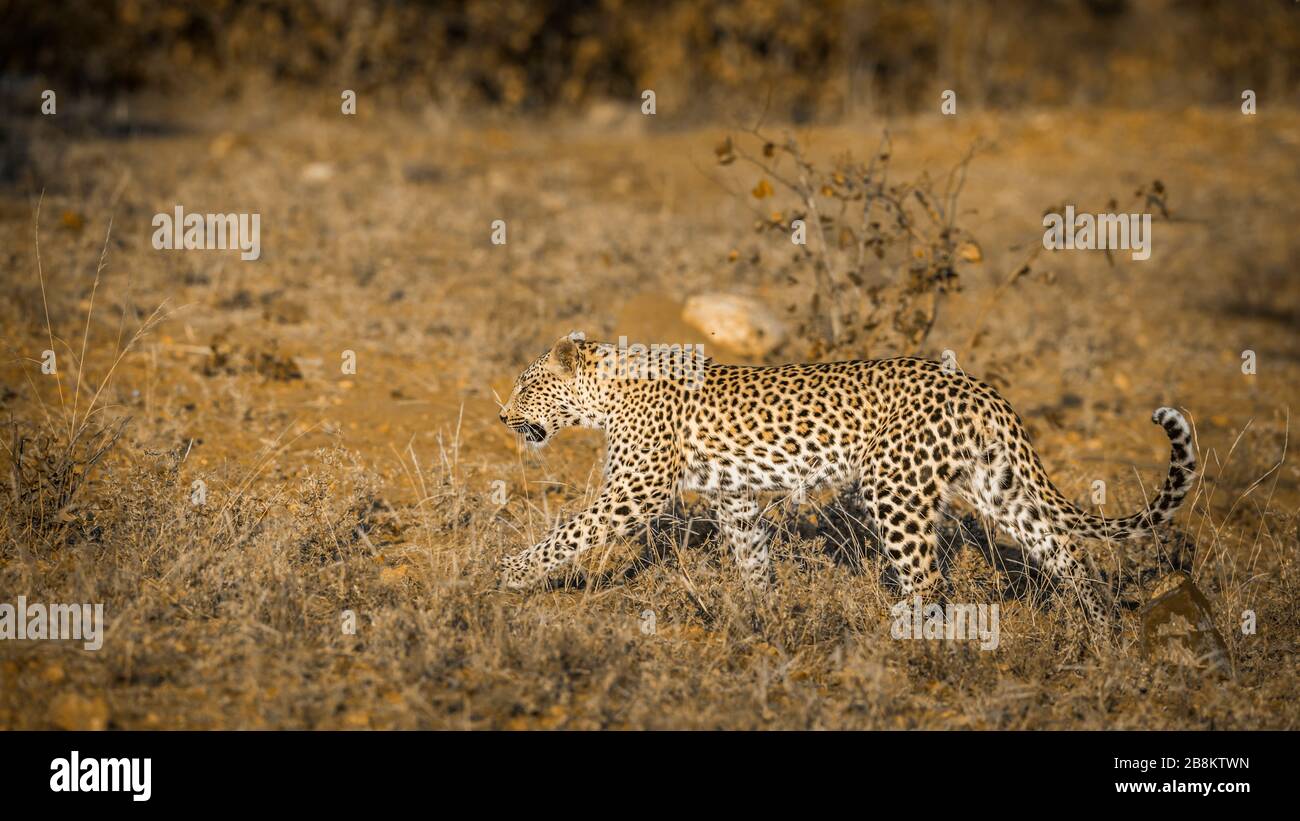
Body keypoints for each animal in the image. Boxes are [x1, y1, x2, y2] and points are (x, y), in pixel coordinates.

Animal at [497, 331, 1197, 627]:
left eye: (528, 385)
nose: (503, 417)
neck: (606, 393)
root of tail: (979, 389)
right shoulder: (734, 495)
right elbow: (750, 554)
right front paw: (761, 611)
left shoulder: (634, 490)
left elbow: (570, 533)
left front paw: (507, 576)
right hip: (991, 485)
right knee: (1061, 546)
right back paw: (1101, 630)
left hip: (895, 489)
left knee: (926, 578)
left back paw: (907, 644)